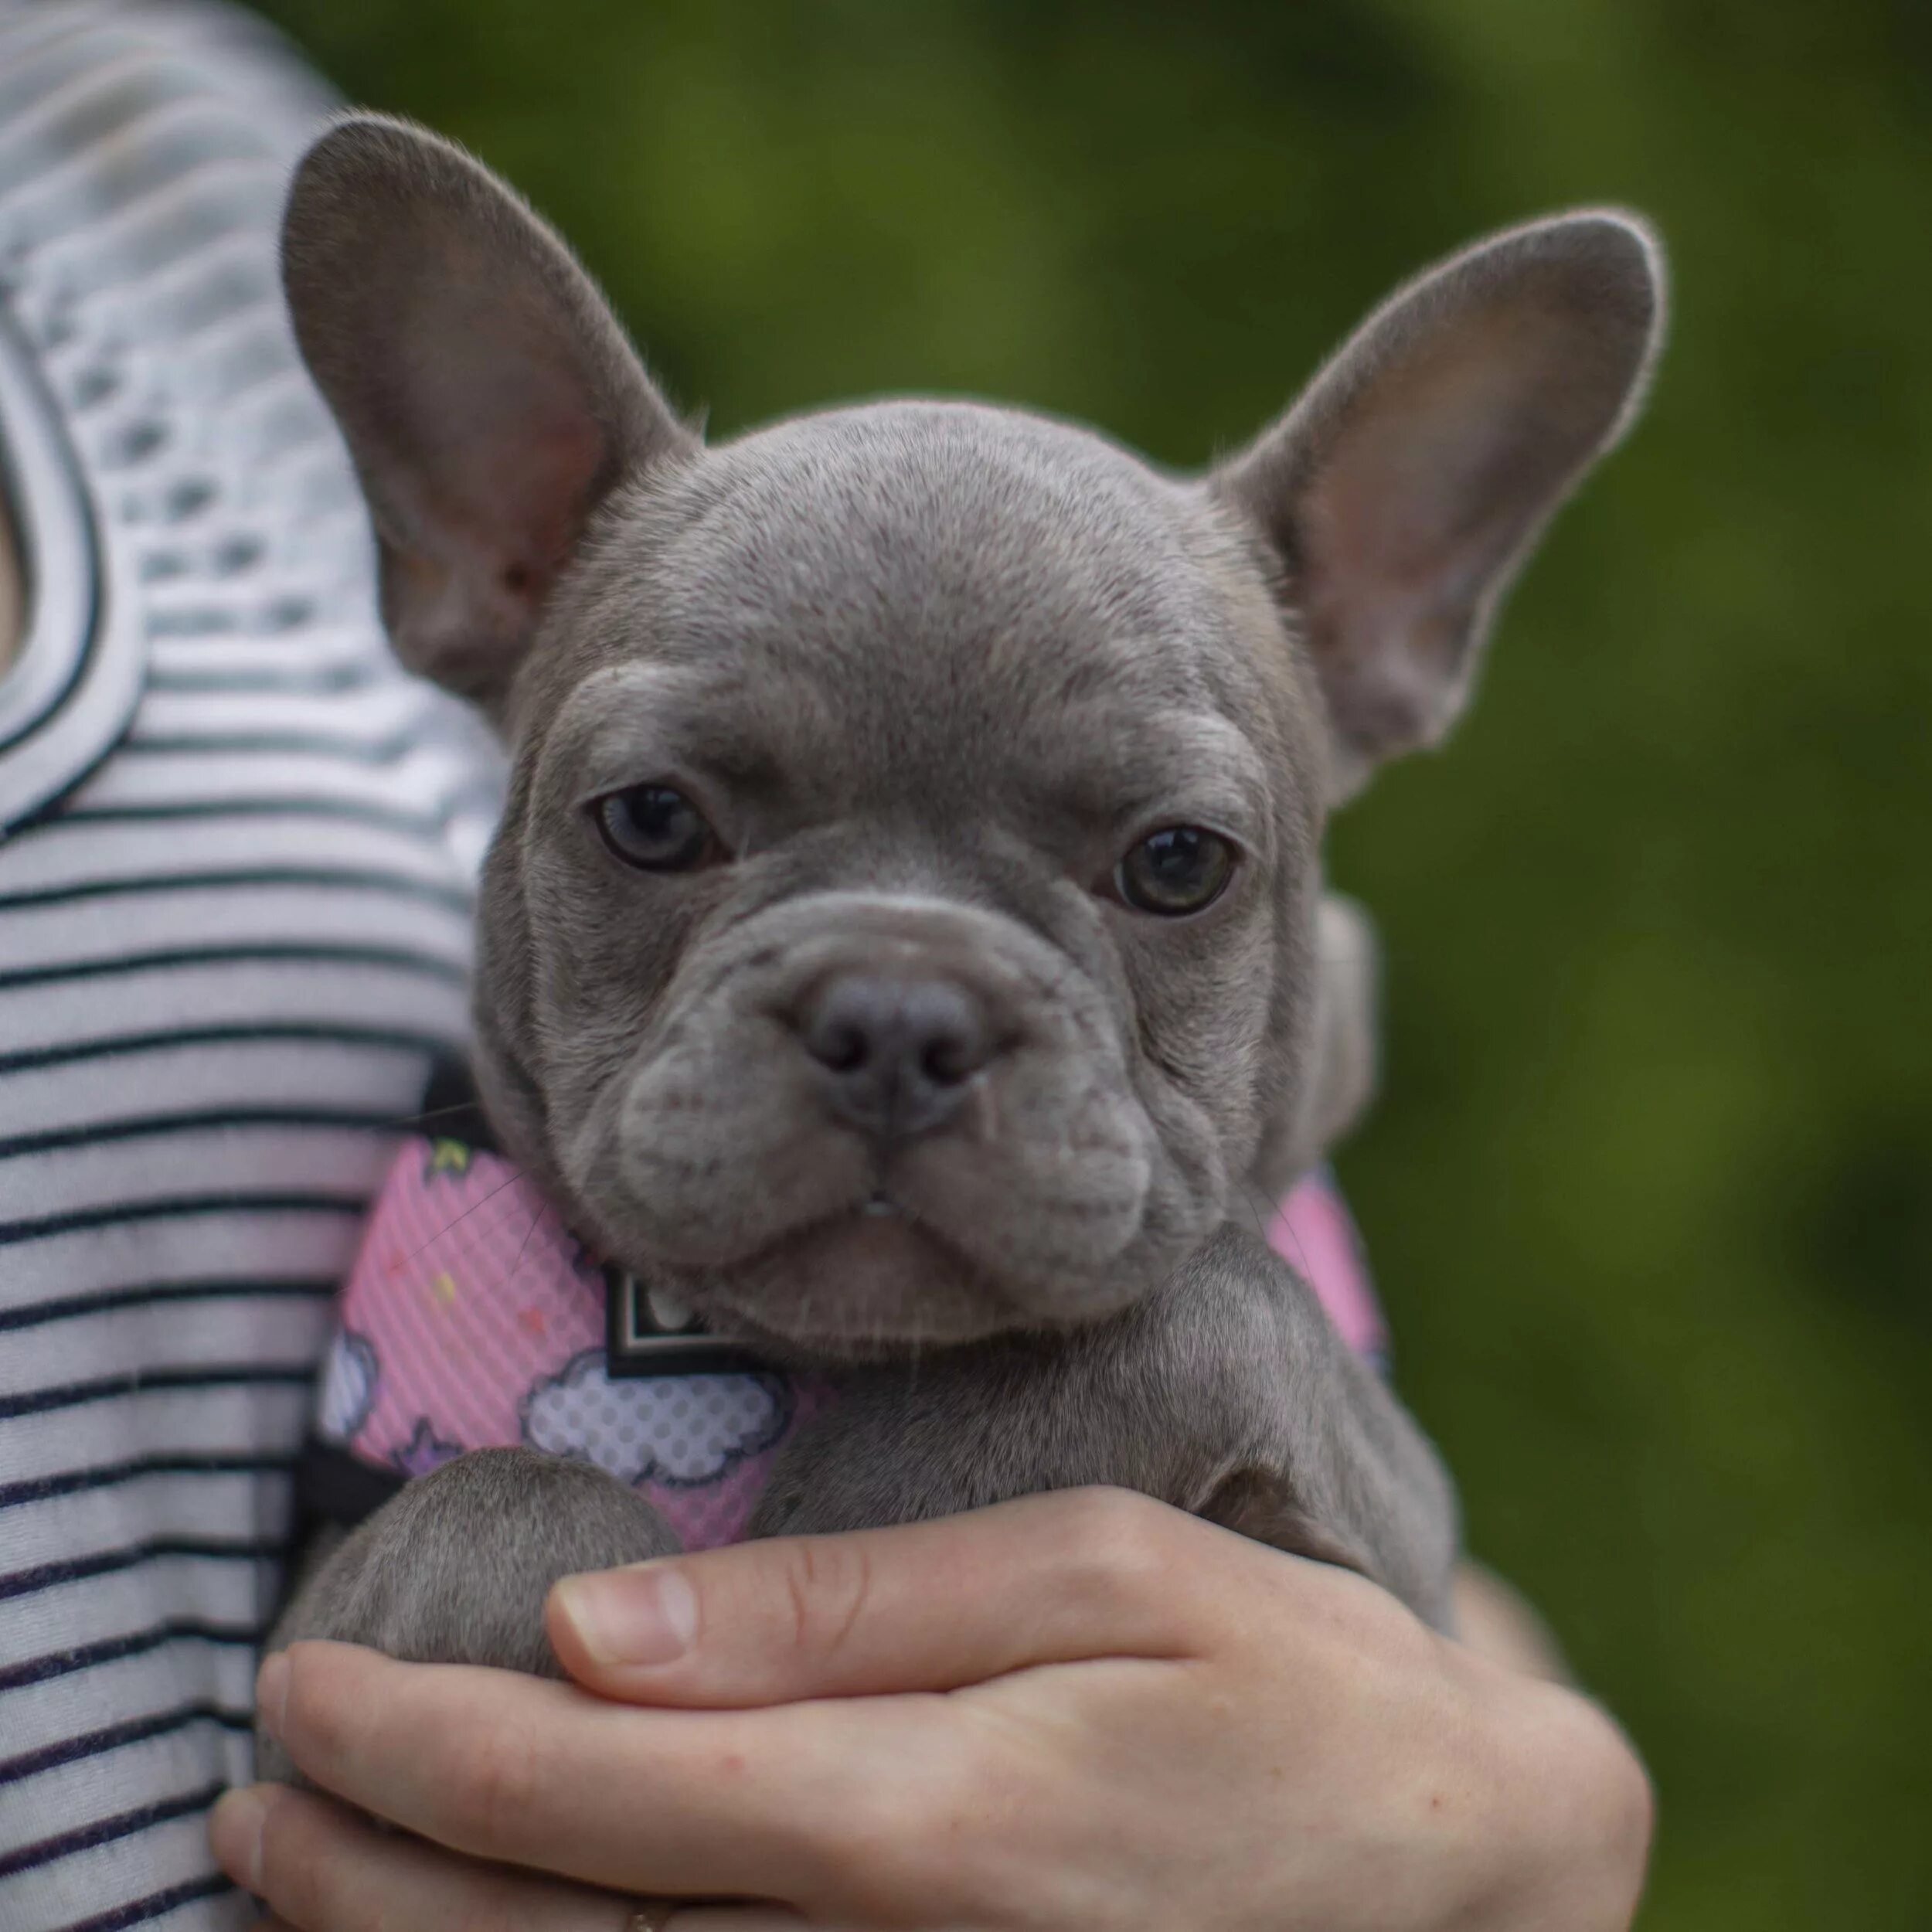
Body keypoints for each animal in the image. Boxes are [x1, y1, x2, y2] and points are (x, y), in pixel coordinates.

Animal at [264, 117, 1669, 1723]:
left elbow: (1213, 1300)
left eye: (1178, 862)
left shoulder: (1408, 1553)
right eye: (653, 820)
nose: (896, 1014)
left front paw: (897, 1481)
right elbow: (505, 1507)